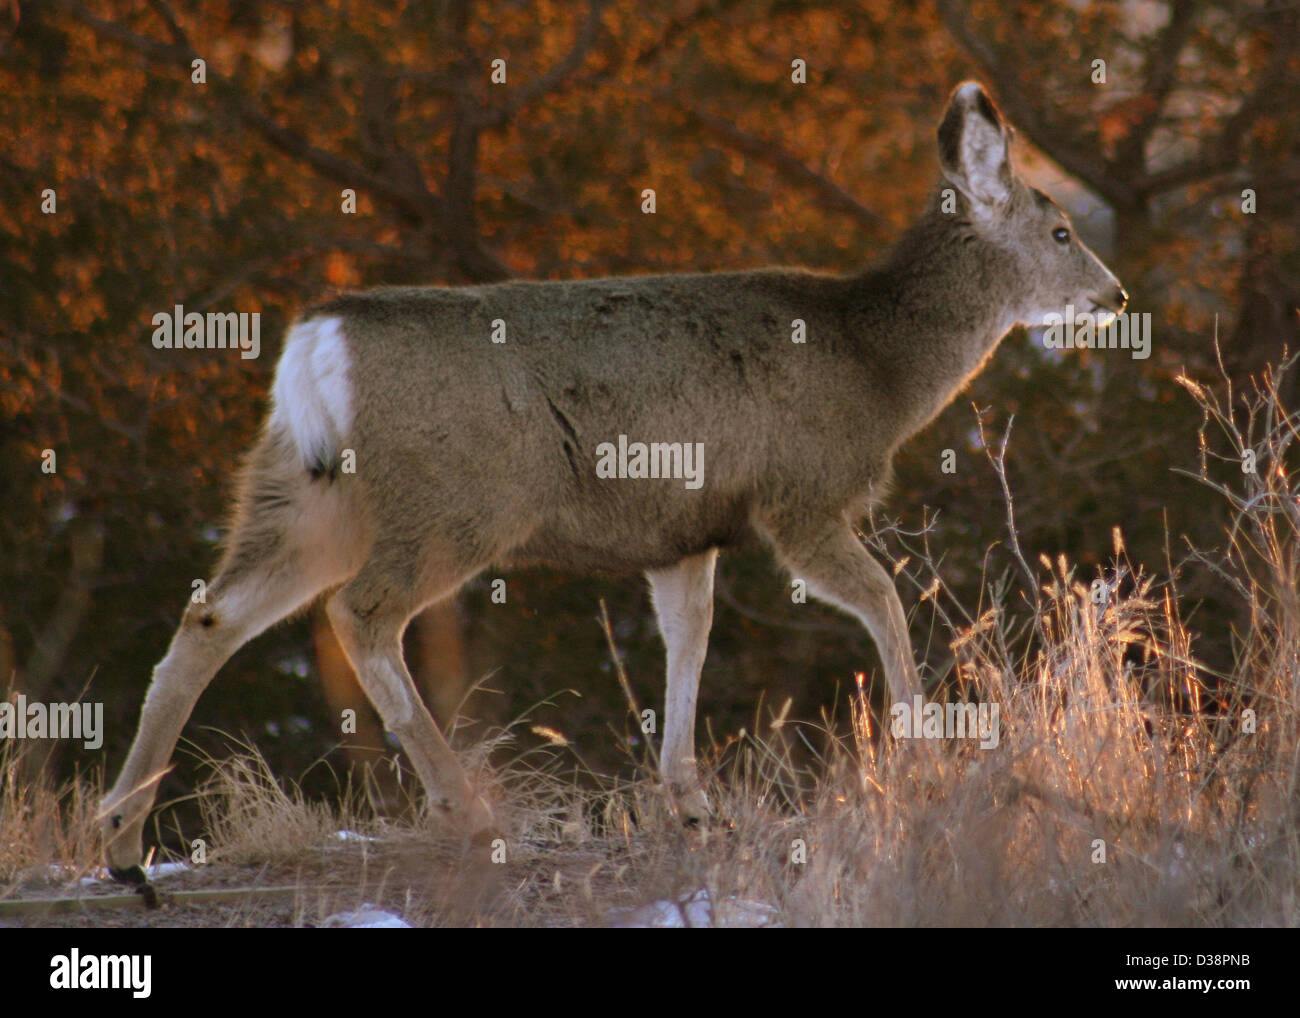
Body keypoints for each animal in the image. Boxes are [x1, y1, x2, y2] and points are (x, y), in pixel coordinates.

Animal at [100, 82, 1126, 894]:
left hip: (303, 490)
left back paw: (120, 841)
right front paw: (920, 759)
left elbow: (688, 639)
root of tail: (319, 341)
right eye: (1061, 230)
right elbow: (882, 599)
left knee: (211, 614)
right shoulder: (798, 495)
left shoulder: (682, 533)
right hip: (459, 500)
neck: (876, 367)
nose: (1114, 295)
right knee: (362, 613)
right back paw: (470, 811)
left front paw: (691, 802)